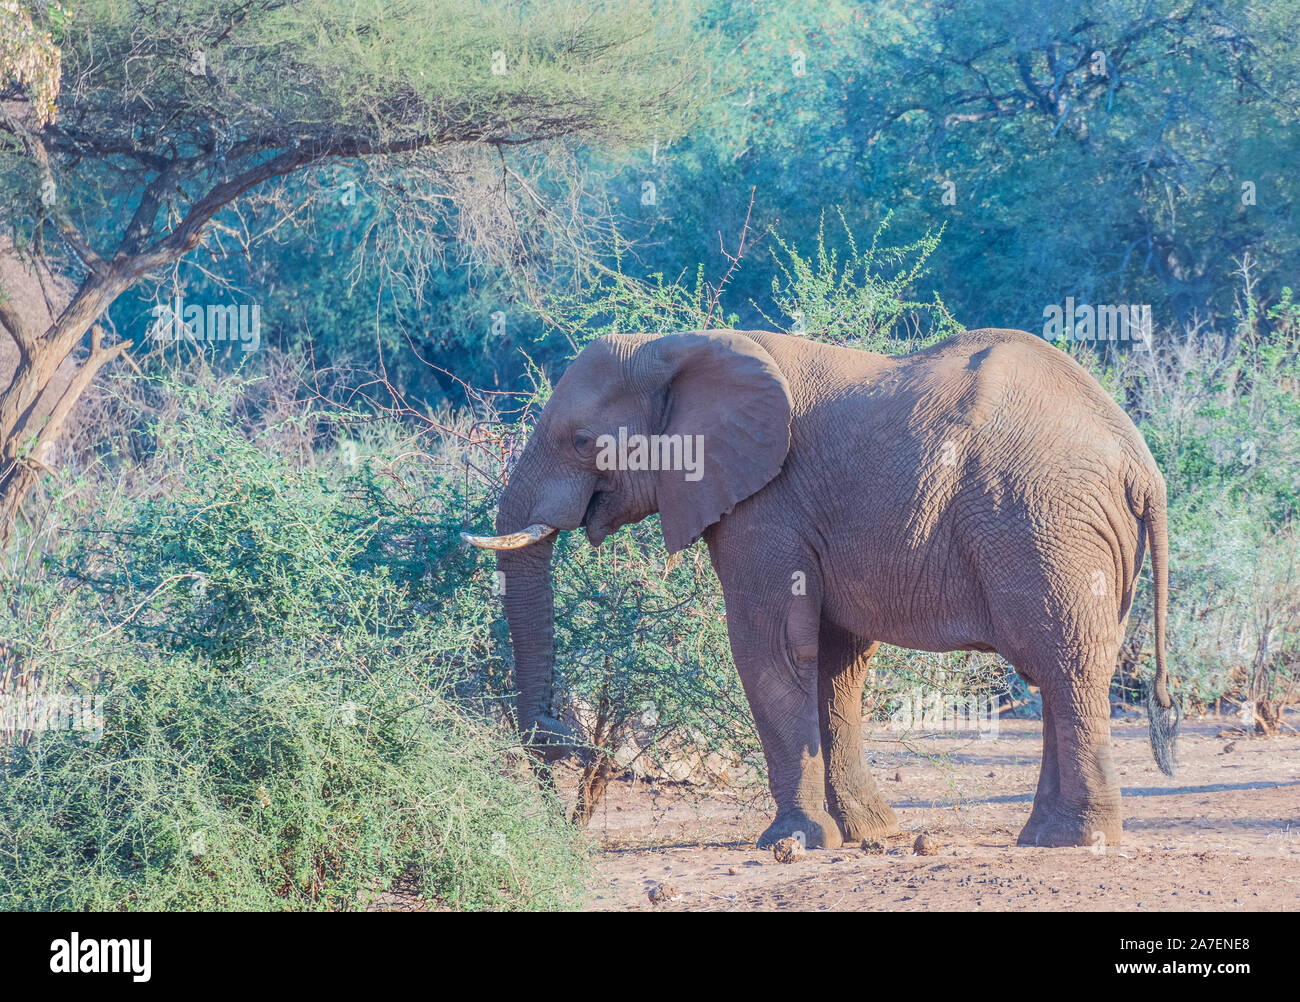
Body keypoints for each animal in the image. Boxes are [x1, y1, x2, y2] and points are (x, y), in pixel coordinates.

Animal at [464, 327, 1180, 849]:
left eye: (583, 441)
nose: (561, 742)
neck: (675, 346)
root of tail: (1139, 459)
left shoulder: (766, 503)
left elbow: (772, 649)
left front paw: (791, 842)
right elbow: (836, 662)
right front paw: (868, 834)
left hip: (1045, 525)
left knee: (1062, 664)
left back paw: (1075, 841)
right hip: (1085, 539)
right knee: (1064, 668)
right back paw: (1041, 838)